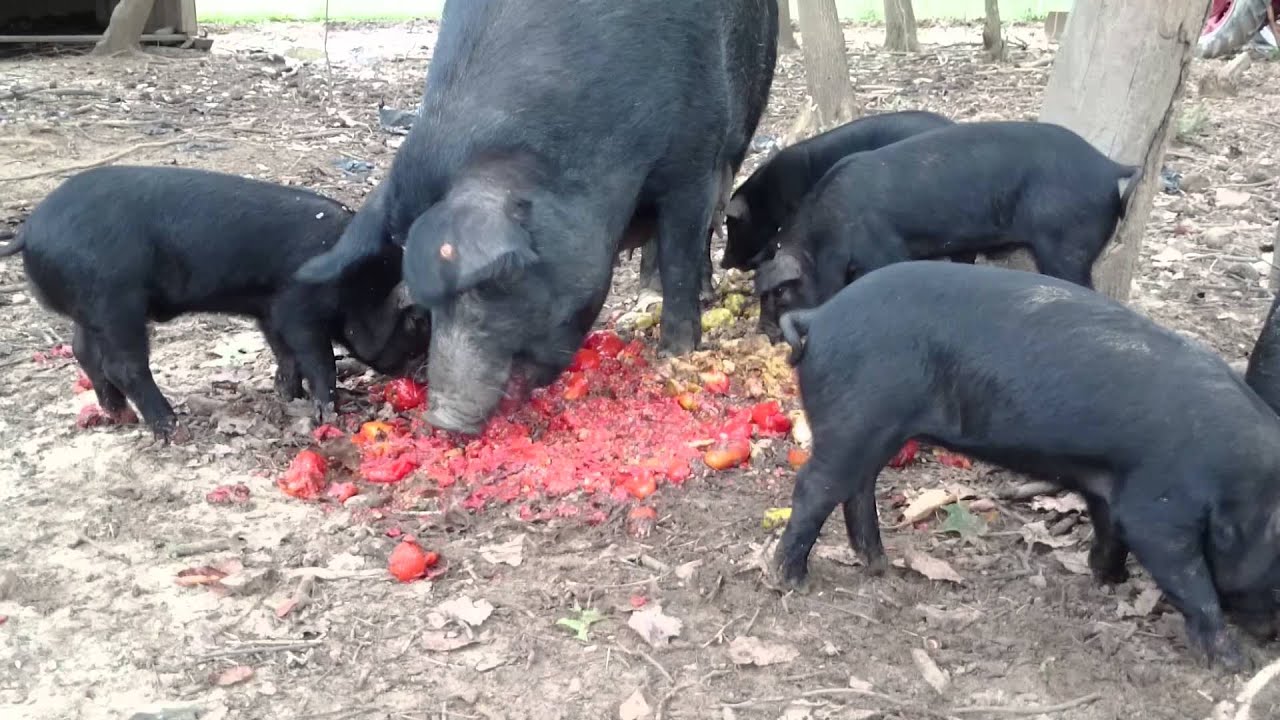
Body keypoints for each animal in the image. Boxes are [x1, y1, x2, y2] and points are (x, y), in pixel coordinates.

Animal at [0, 165, 429, 441]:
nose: (414, 378)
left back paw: (121, 417)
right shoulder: (296, 308)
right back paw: (173, 430)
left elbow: (284, 355)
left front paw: (287, 396)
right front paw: (327, 413)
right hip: (115, 300)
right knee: (124, 365)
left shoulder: (268, 310)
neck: (359, 284)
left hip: (90, 309)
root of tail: (30, 229)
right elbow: (317, 357)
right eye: (413, 333)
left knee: (83, 351)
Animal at [293, 0, 779, 434]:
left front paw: (675, 355)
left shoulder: (692, 158)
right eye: (424, 304)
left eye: (482, 288)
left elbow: (682, 251)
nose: (440, 418)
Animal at [772, 260, 1280, 670]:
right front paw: (1233, 665)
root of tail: (819, 316)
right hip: (856, 417)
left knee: (856, 487)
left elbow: (1110, 528)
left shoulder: (1107, 483)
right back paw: (791, 580)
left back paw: (881, 566)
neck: (1241, 487)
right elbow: (1188, 576)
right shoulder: (1159, 502)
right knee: (816, 487)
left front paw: (1108, 578)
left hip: (874, 429)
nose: (1270, 639)